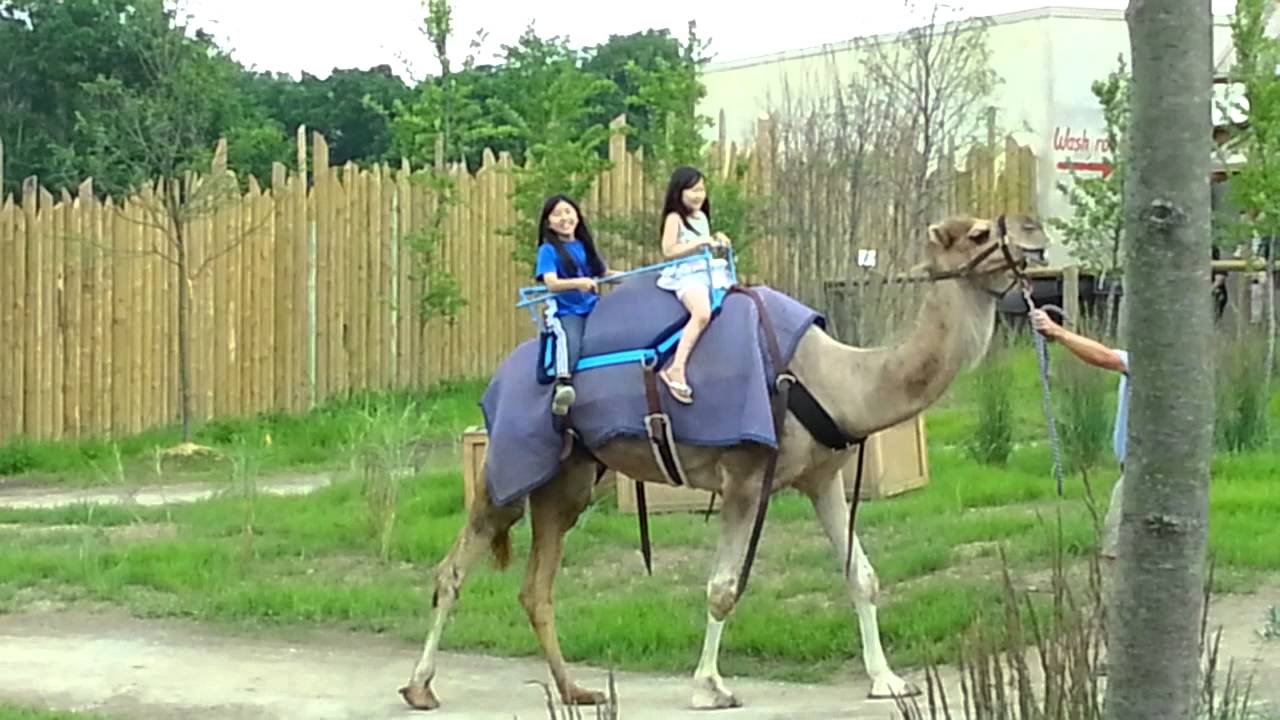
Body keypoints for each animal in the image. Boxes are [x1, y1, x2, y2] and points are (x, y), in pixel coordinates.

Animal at [399, 213, 1050, 711]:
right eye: (978, 231)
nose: (1035, 230)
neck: (835, 377)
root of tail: (502, 374)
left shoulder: (822, 477)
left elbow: (860, 575)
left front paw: (887, 680)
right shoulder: (744, 476)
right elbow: (722, 586)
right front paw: (709, 687)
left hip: (569, 479)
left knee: (537, 587)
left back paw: (576, 691)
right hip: (511, 461)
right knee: (455, 567)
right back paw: (420, 688)